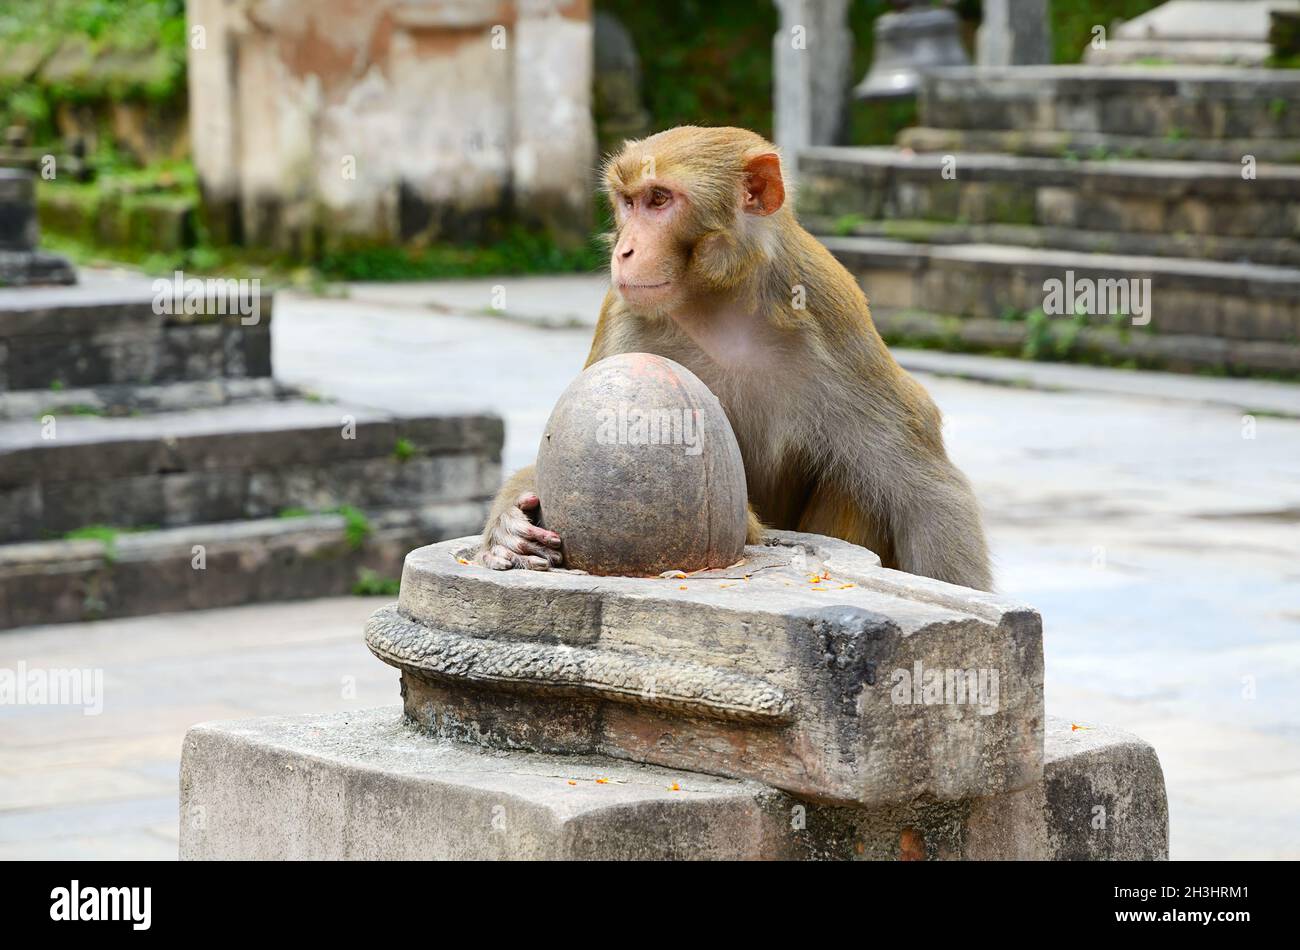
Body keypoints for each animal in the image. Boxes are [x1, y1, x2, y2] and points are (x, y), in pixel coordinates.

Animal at [478, 126, 992, 591]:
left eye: (659, 199)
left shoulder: (835, 321)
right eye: (628, 201)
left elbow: (928, 493)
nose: (624, 251)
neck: (721, 305)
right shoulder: (623, 317)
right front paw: (510, 525)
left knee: (861, 482)